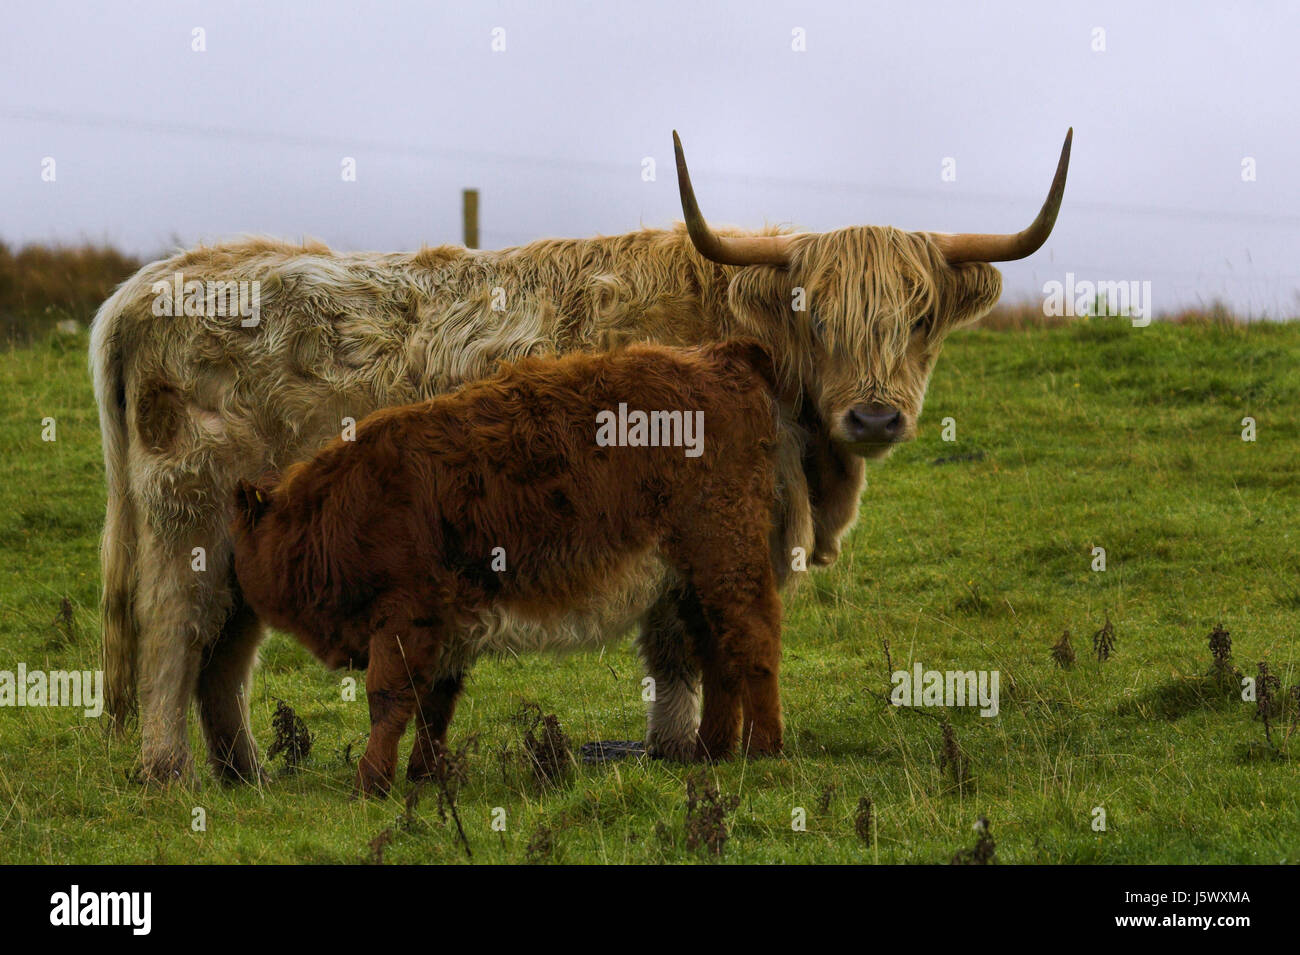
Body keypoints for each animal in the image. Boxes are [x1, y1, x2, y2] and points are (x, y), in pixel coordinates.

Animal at [231, 340, 785, 795]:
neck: (337, 509)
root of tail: (720, 356)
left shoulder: (403, 617)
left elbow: (388, 698)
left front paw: (371, 782)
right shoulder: (445, 628)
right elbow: (435, 703)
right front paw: (424, 774)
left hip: (727, 556)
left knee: (753, 640)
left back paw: (763, 748)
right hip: (689, 580)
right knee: (717, 653)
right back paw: (710, 751)